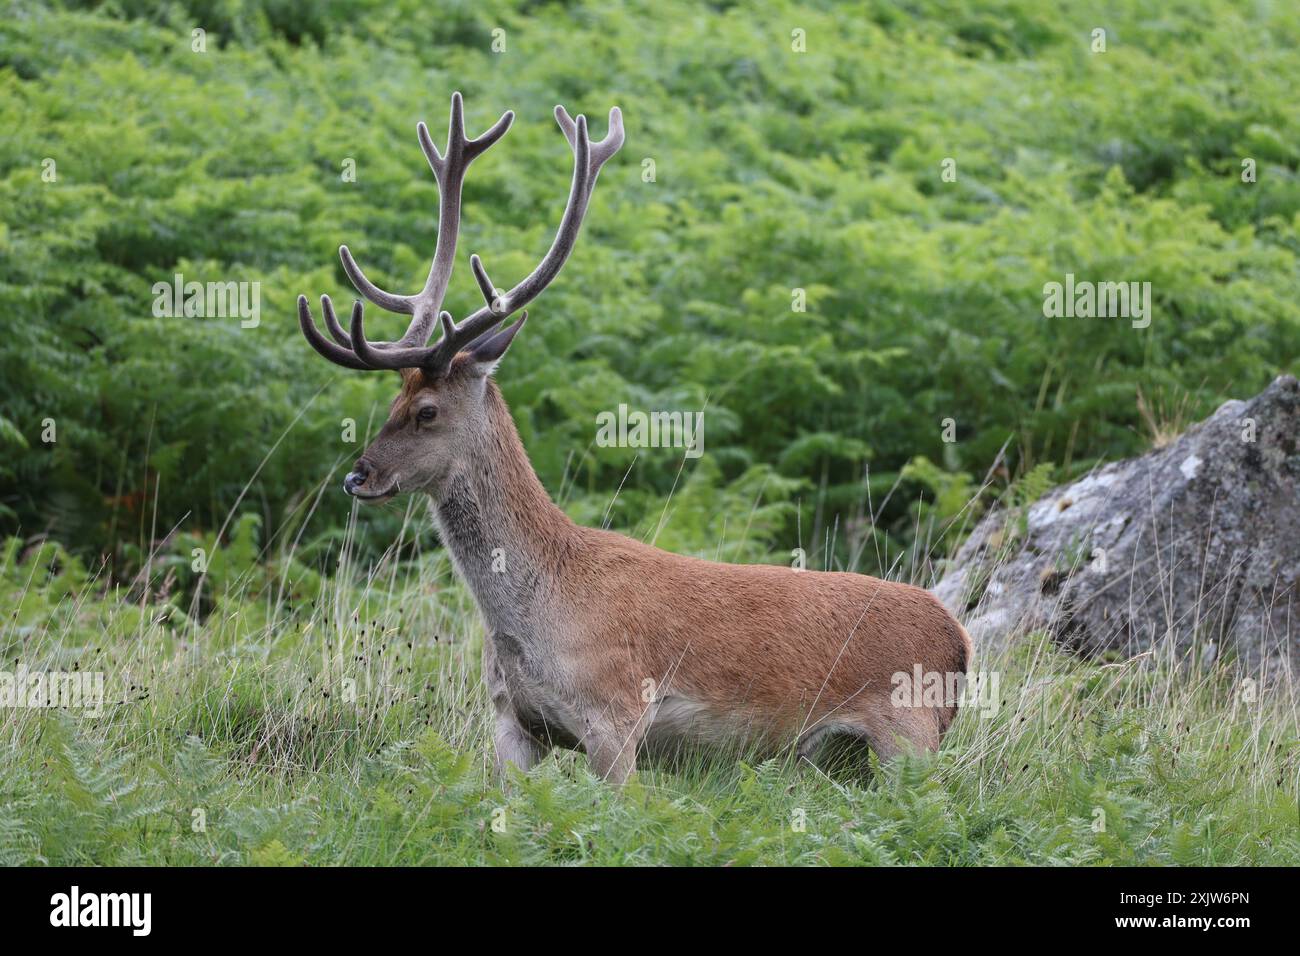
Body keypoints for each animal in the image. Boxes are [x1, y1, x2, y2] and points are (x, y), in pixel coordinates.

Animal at [297, 93, 973, 784]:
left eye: (427, 411)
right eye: (392, 402)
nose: (358, 475)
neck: (534, 619)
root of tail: (961, 640)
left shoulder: (617, 715)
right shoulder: (511, 721)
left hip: (909, 733)